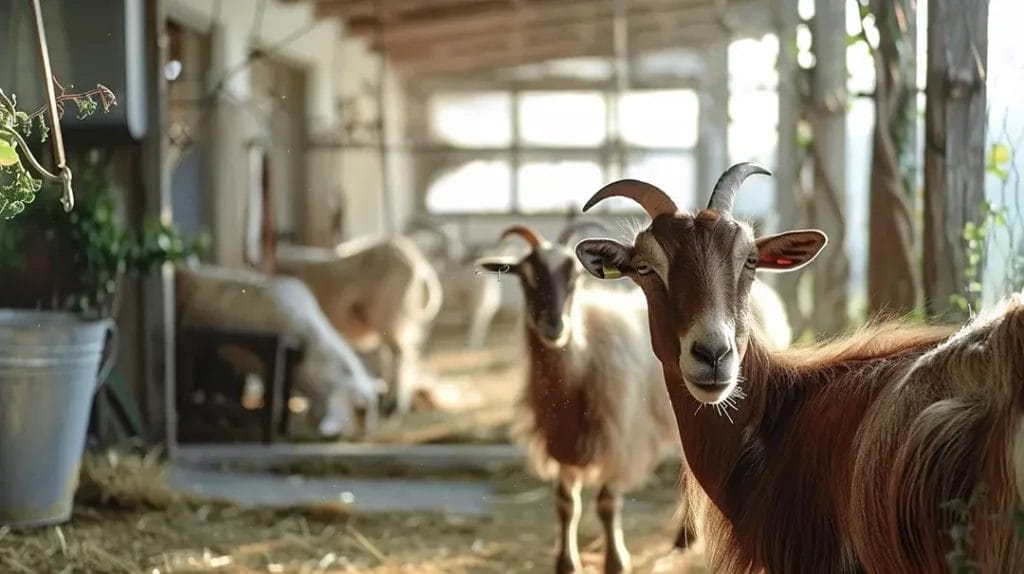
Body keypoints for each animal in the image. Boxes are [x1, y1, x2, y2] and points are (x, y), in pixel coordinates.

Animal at [274, 235, 443, 416]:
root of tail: (418, 263)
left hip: (390, 312)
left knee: (402, 355)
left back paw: (393, 405)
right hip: (396, 319)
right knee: (396, 355)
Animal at [477, 224, 687, 574]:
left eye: (575, 277)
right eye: (525, 277)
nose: (555, 326)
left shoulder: (619, 440)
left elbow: (607, 504)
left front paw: (616, 561)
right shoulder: (563, 443)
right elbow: (566, 504)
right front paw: (566, 562)